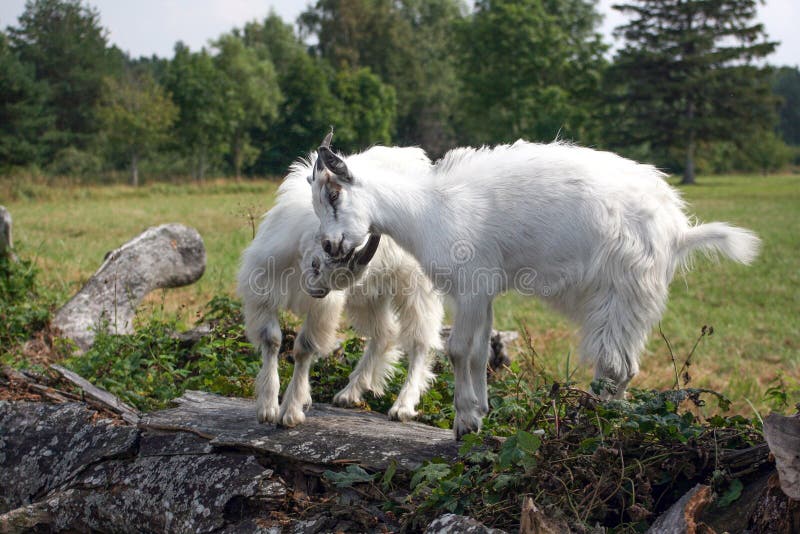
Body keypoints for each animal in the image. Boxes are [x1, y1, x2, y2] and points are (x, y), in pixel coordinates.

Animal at [237, 147, 442, 426]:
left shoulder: (323, 309)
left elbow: (304, 349)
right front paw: (267, 407)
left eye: (326, 281)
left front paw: (291, 410)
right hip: (368, 294)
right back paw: (350, 392)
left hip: (413, 283)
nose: (317, 292)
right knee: (385, 332)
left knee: (420, 338)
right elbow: (272, 340)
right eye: (316, 263)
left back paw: (402, 405)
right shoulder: (262, 291)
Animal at [309, 136, 760, 439]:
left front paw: (464, 420)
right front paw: (481, 411)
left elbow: (457, 350)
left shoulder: (471, 285)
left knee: (617, 367)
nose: (330, 245)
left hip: (621, 293)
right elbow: (478, 352)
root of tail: (678, 230)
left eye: (334, 192)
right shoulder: (485, 290)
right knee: (623, 367)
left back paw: (596, 426)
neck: (426, 209)